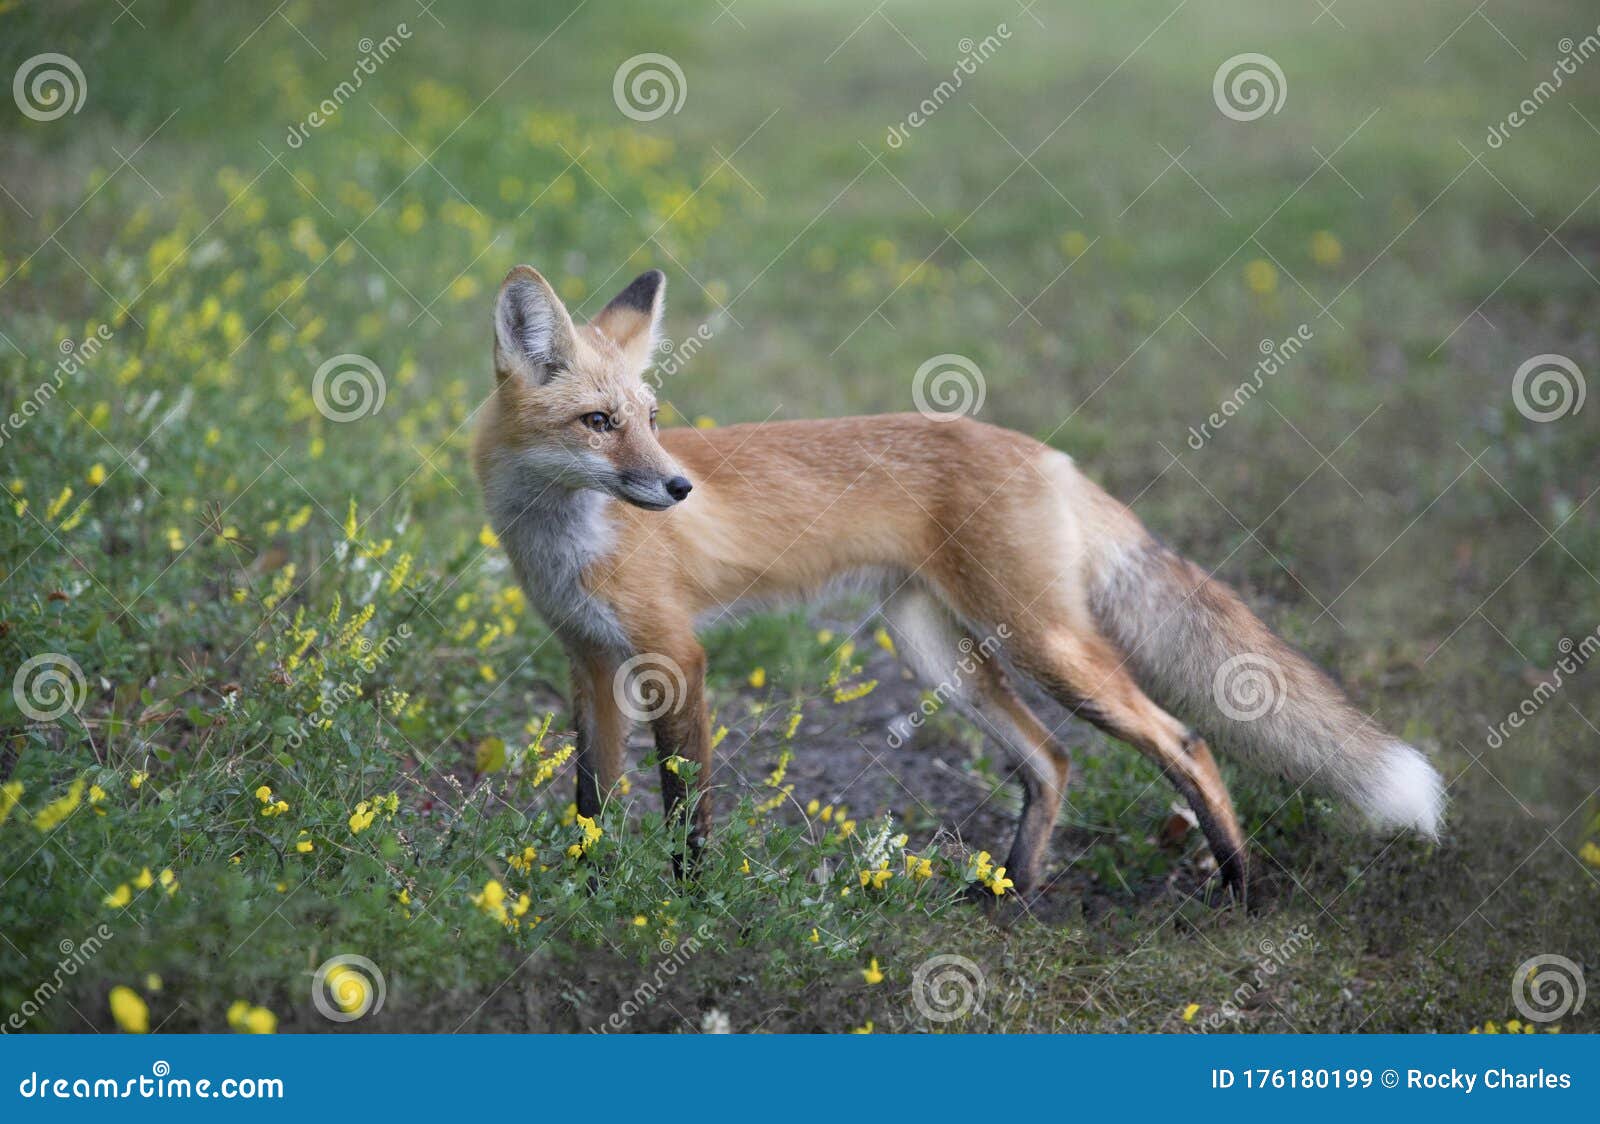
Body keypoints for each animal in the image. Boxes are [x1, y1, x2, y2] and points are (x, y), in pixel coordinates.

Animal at [472, 262, 1445, 900]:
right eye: (599, 423)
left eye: (650, 417)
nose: (678, 489)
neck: (563, 539)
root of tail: (1047, 453)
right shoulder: (590, 661)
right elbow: (593, 802)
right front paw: (588, 895)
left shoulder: (675, 658)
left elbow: (686, 811)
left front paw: (684, 907)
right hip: (939, 652)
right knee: (1051, 759)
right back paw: (1011, 892)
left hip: (1046, 646)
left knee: (1185, 741)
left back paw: (1238, 884)